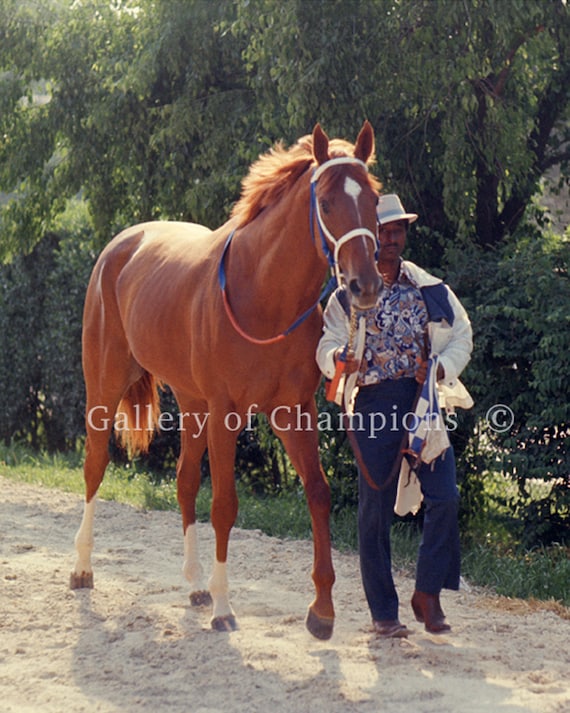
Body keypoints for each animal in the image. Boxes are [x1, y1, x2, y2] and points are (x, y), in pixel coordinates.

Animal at [70, 121, 382, 640]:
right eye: (326, 202)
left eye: (375, 199)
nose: (366, 285)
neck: (262, 293)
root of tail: (122, 244)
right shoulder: (226, 413)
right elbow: (224, 505)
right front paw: (223, 607)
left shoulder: (293, 412)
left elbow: (317, 493)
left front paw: (322, 611)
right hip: (106, 386)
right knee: (95, 466)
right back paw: (82, 569)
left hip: (191, 403)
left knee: (182, 481)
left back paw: (195, 585)